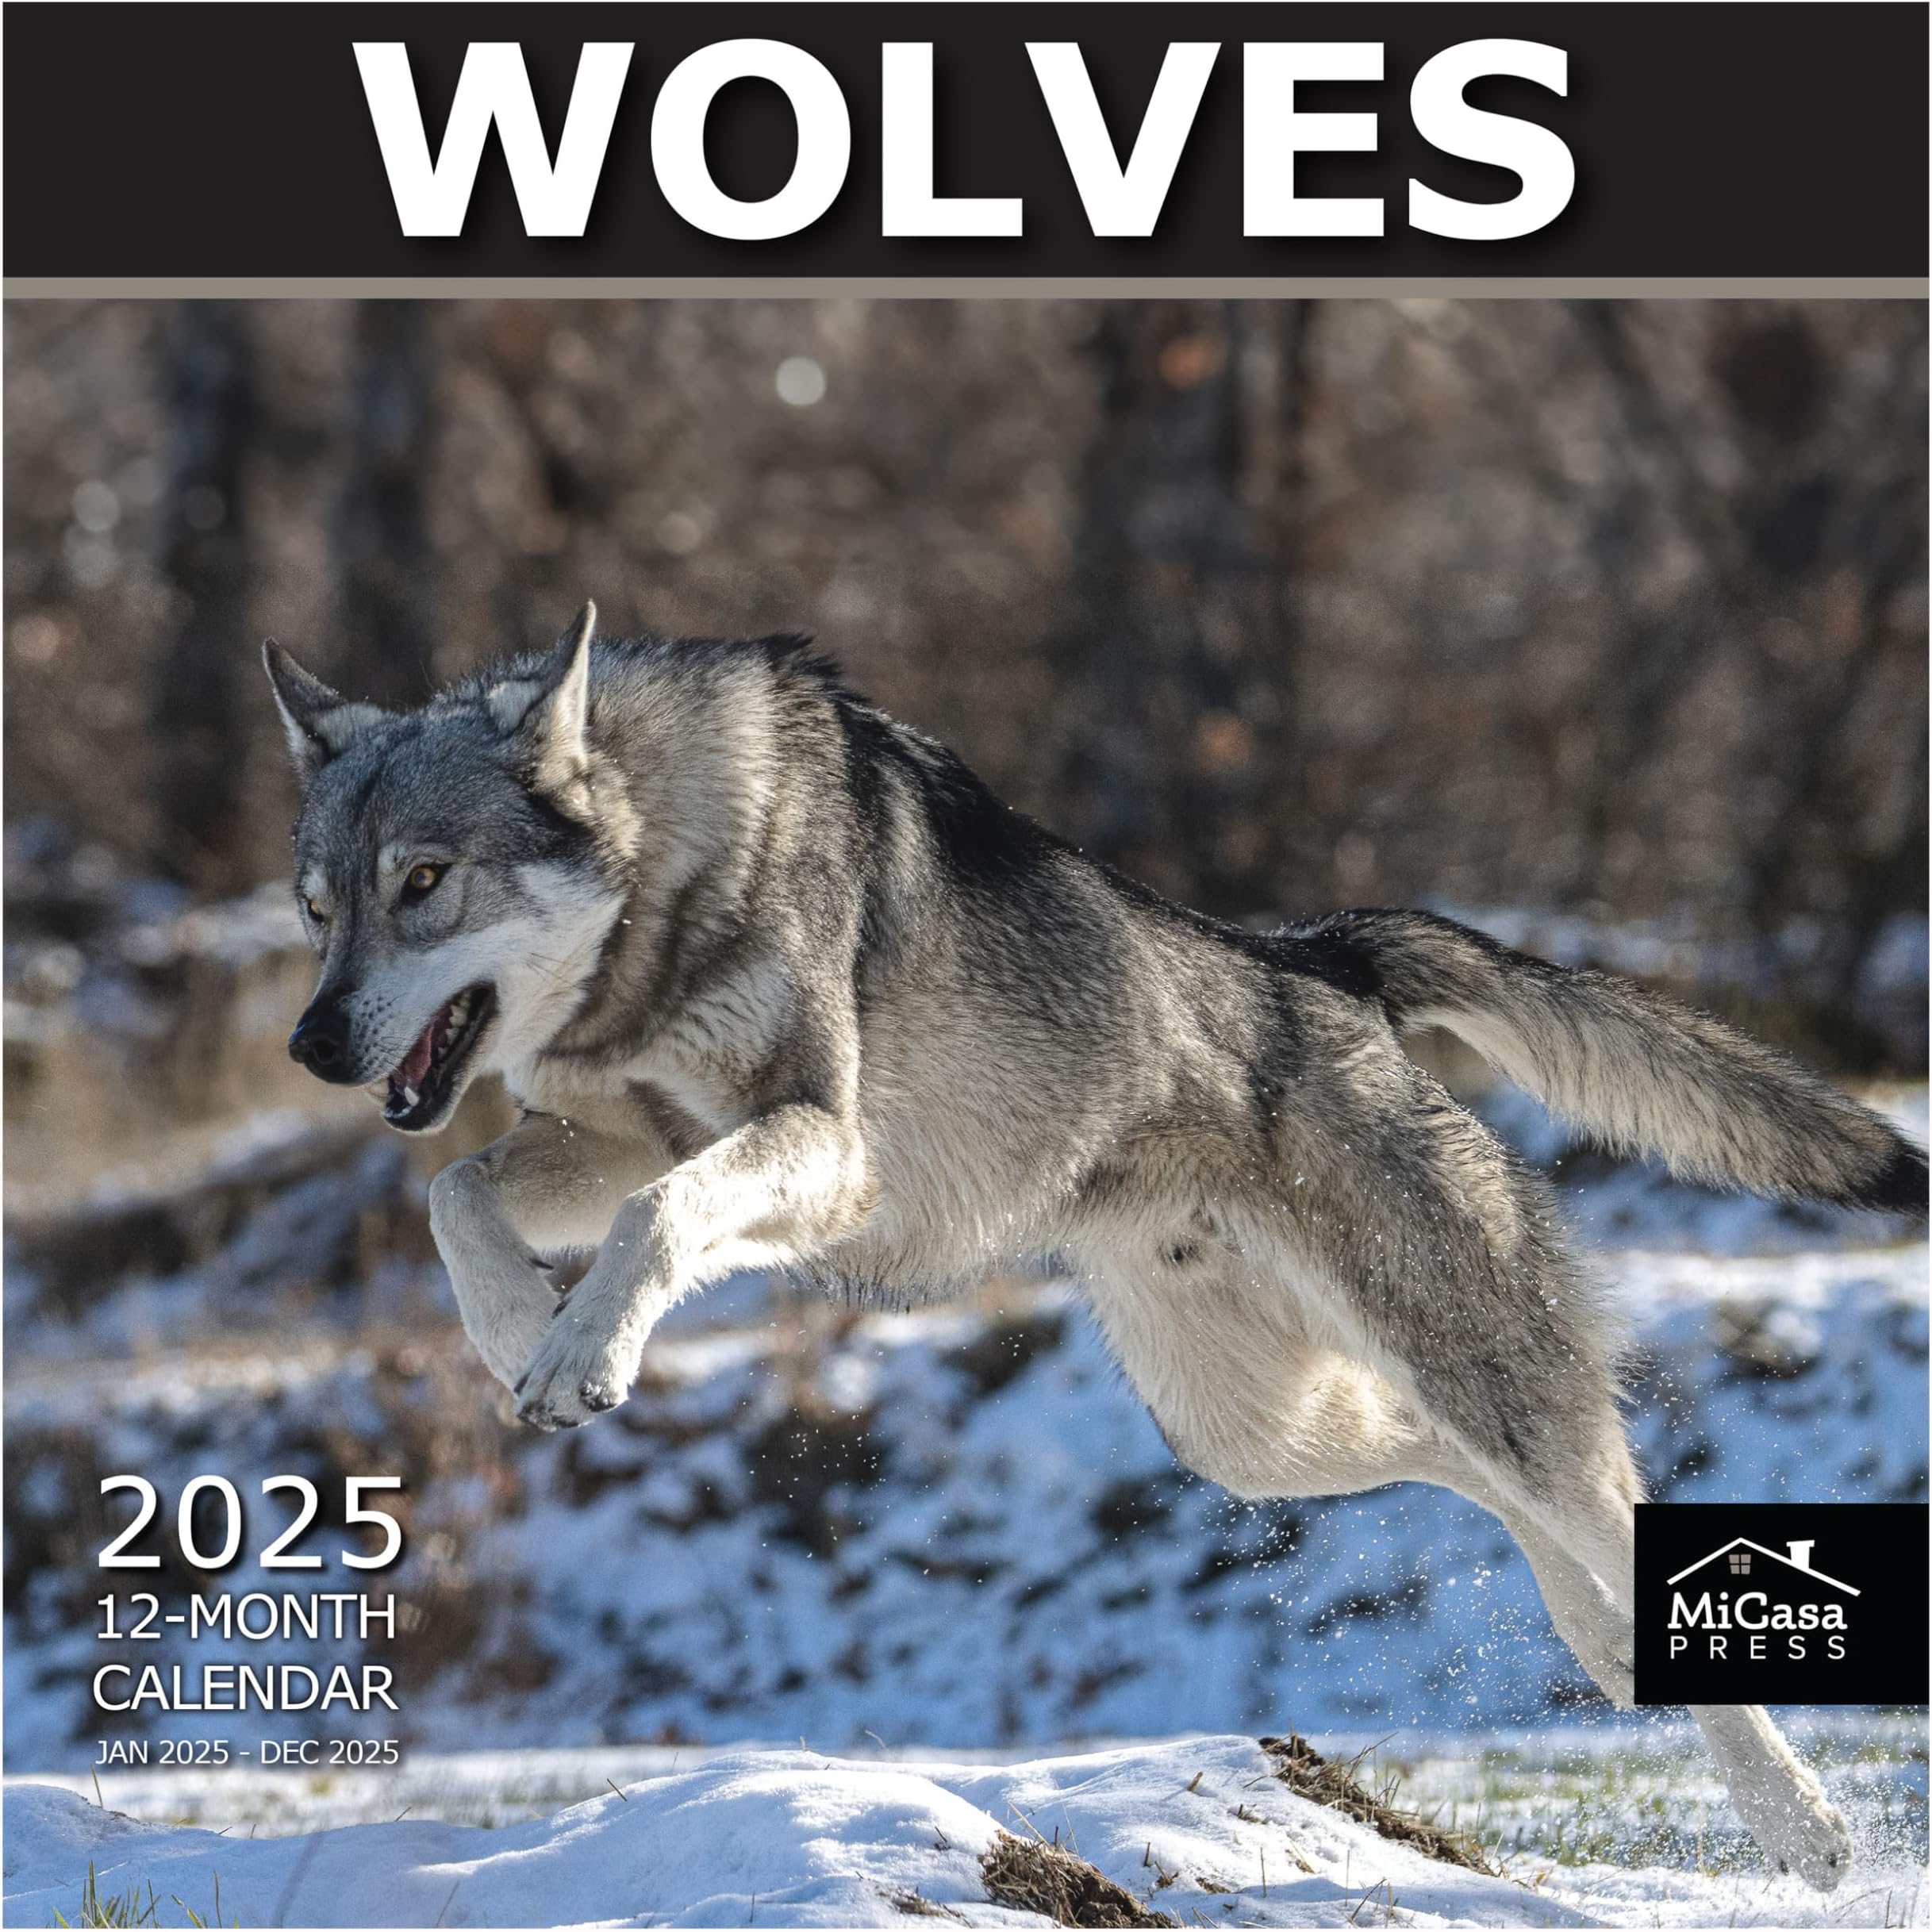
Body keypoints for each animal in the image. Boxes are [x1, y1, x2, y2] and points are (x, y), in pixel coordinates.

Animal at [268, 604, 1924, 1890]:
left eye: (427, 882)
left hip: (1440, 1378)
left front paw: (581, 1351)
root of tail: (1321, 959)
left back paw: (1805, 1825)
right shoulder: (622, 1132)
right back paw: (1618, 1656)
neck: (678, 874)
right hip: (1251, 1441)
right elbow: (460, 1195)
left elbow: (649, 1218)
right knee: (1482, 1483)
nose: (311, 1046)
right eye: (317, 907)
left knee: (1597, 1495)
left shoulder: (819, 1148)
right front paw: (518, 1332)